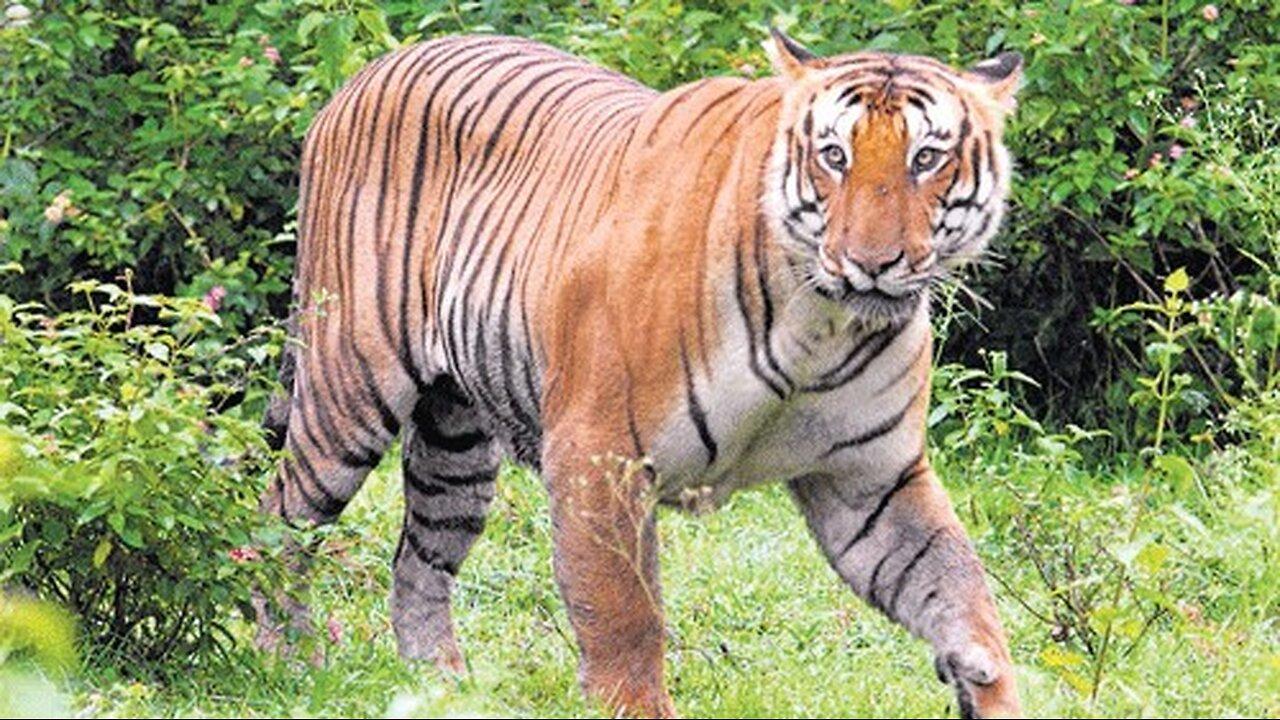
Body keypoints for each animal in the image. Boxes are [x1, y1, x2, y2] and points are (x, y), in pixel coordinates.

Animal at [256, 28, 1024, 718]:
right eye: (834, 156)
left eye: (927, 158)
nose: (873, 262)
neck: (822, 326)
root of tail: (366, 74)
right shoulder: (598, 456)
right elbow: (625, 614)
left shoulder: (869, 480)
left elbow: (954, 584)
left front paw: (982, 677)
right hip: (348, 389)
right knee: (281, 520)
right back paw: (288, 660)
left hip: (456, 443)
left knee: (419, 564)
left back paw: (443, 691)